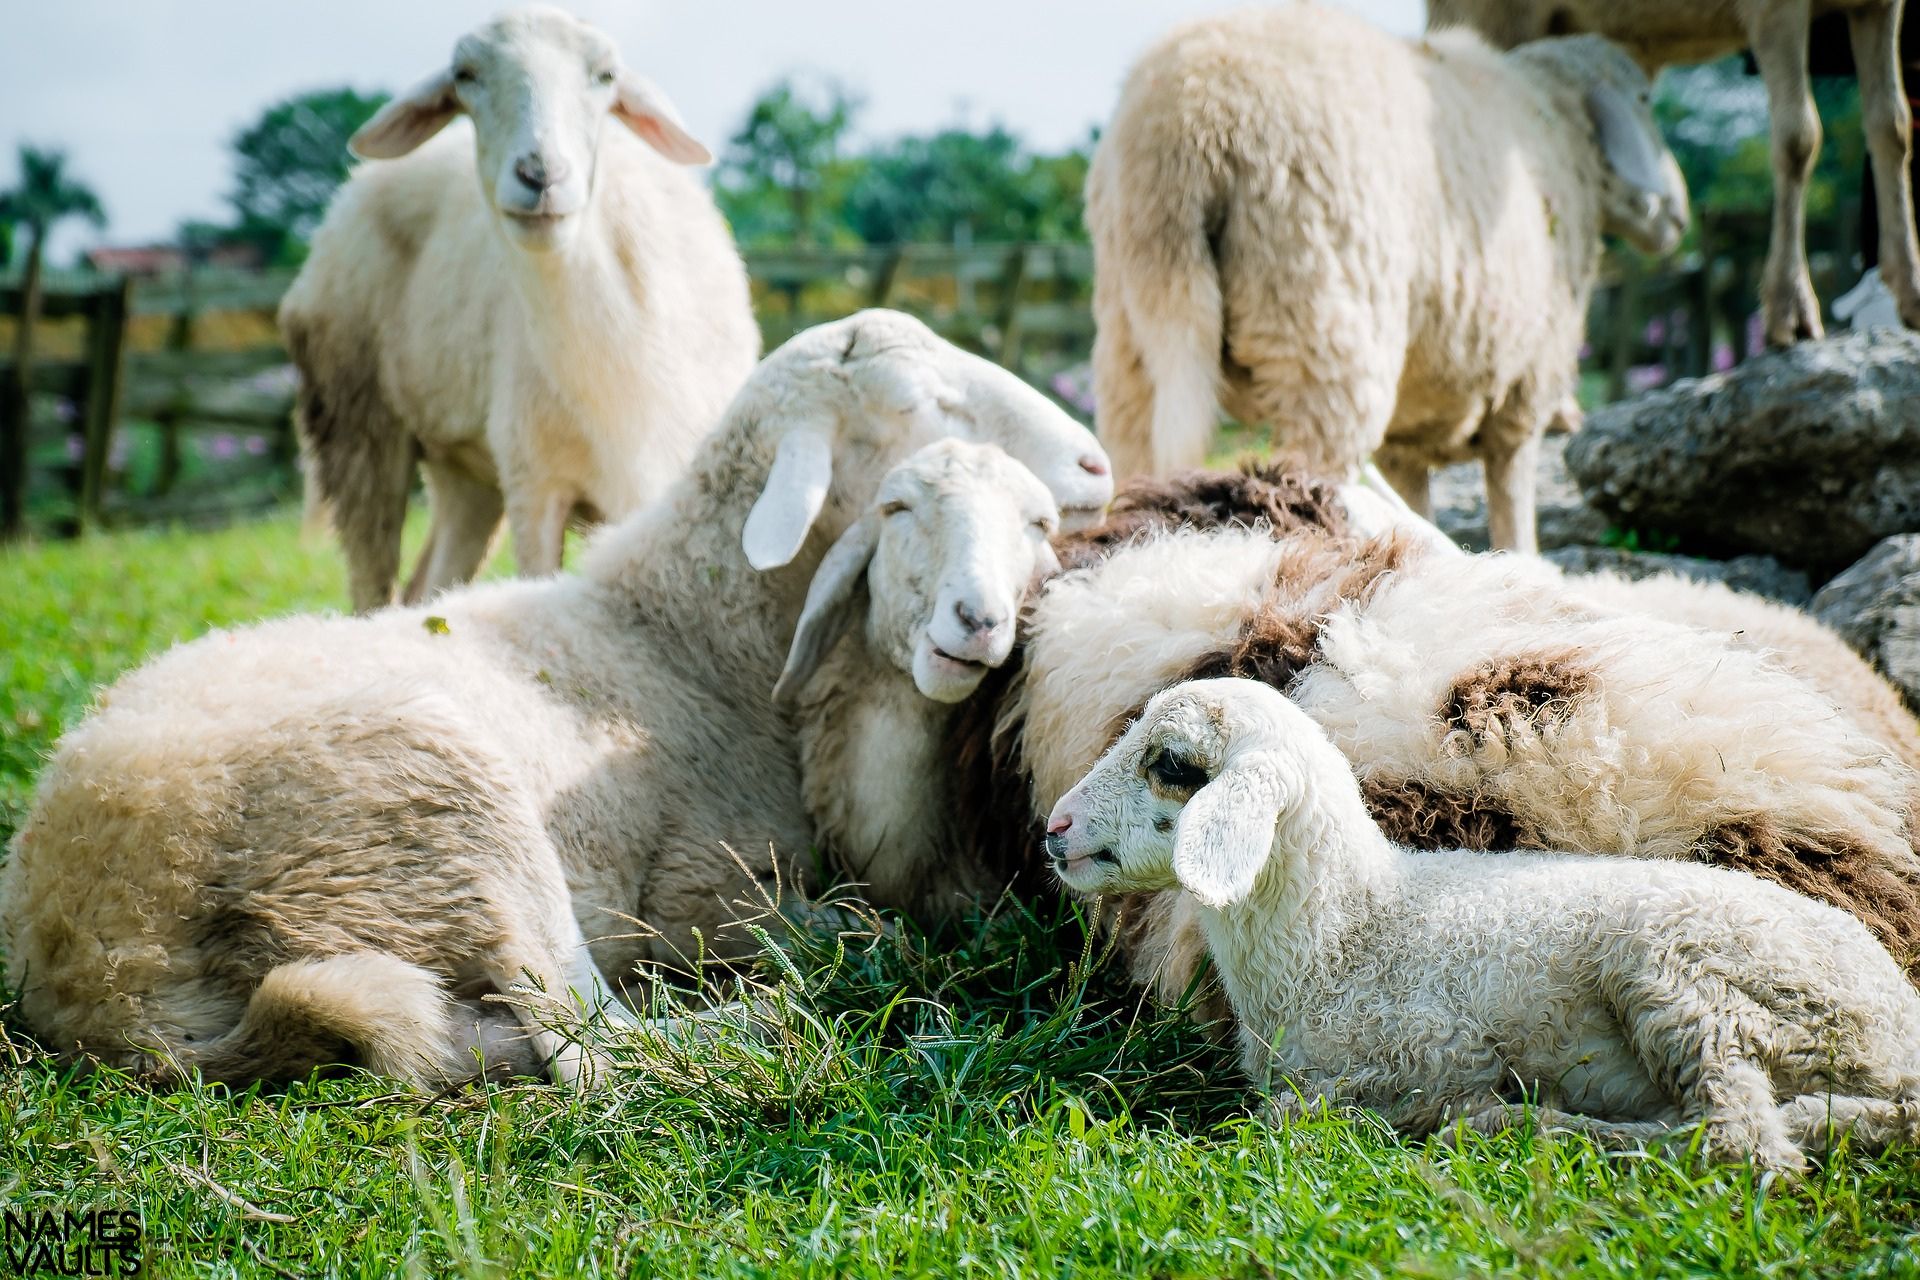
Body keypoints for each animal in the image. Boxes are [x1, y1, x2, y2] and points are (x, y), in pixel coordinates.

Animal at [0, 310, 1113, 1090]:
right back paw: (770, 1025)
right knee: (592, 1046)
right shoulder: (699, 890)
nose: (1099, 462)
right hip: (444, 805)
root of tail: (99, 973)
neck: (678, 629)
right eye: (929, 404)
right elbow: (861, 928)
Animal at [279, 6, 759, 613]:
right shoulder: (536, 486)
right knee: (374, 587)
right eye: (465, 75)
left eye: (606, 75)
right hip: (357, 424)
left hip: (466, 470)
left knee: (429, 587)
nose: (540, 175)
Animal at [1047, 677, 1920, 1171]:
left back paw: (1530, 1127)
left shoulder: (1431, 1047)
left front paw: (1443, 1116)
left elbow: (1302, 1113)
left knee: (1741, 1141)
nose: (1055, 827)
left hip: (1690, 974)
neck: (1348, 931)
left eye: (1171, 762)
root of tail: (1898, 1025)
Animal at [1084, 4, 1689, 552]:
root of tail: (1185, 129)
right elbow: (1513, 505)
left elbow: (1418, 496)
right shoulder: (1526, 384)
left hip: (1137, 322)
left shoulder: (1411, 429)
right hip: (1320, 319)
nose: (1679, 214)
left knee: (1137, 451)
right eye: (1643, 100)